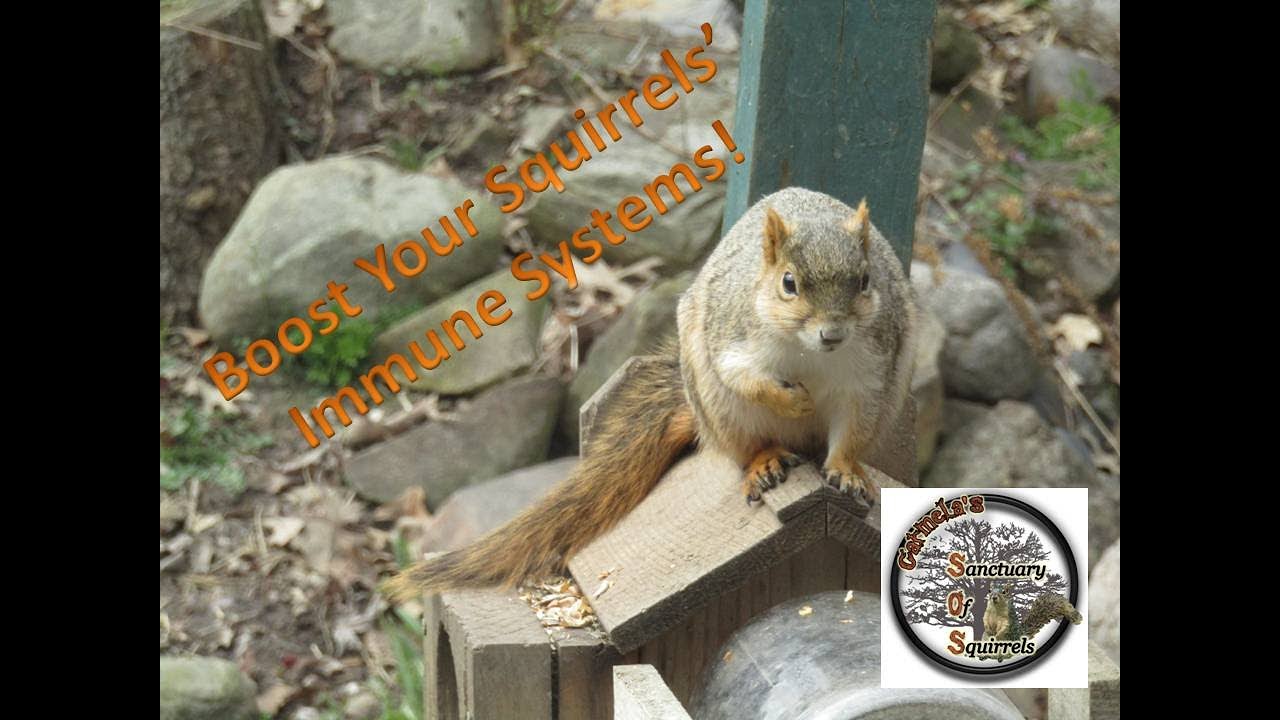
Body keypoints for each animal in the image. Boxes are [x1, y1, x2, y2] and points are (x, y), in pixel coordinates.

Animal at [383, 187, 918, 601]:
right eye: (789, 283)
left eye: (865, 281)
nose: (833, 334)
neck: (811, 354)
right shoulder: (733, 335)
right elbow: (743, 375)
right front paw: (791, 399)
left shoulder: (870, 372)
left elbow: (851, 428)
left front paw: (845, 469)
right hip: (717, 404)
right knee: (746, 443)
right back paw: (762, 461)